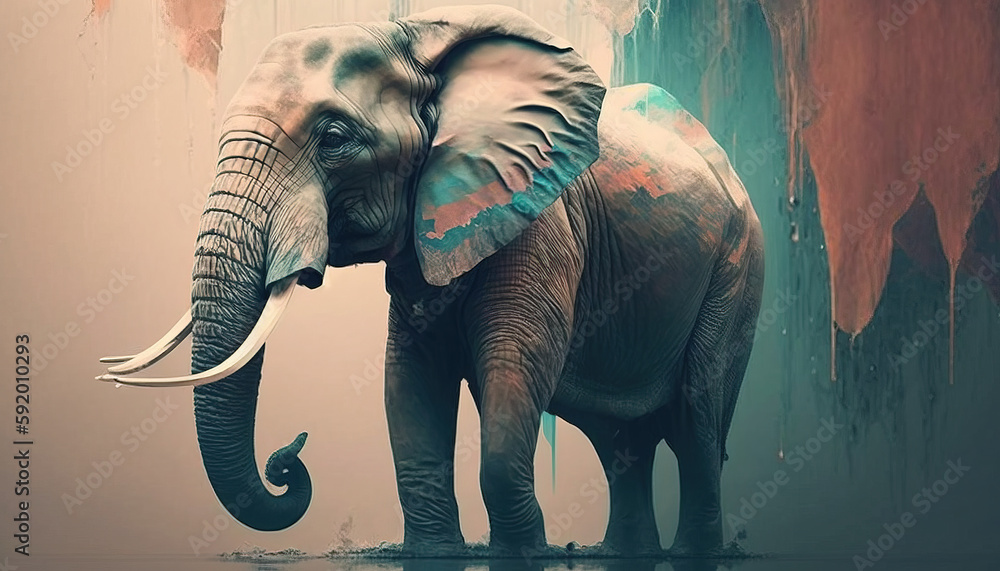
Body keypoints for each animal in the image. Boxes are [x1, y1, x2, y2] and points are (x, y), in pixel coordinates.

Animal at [98, 4, 764, 558]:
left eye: (333, 139)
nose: (287, 457)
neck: (416, 37)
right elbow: (410, 375)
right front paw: (439, 553)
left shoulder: (539, 214)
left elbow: (517, 356)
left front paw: (523, 555)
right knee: (621, 439)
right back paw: (626, 554)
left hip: (738, 269)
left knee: (697, 417)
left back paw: (694, 553)